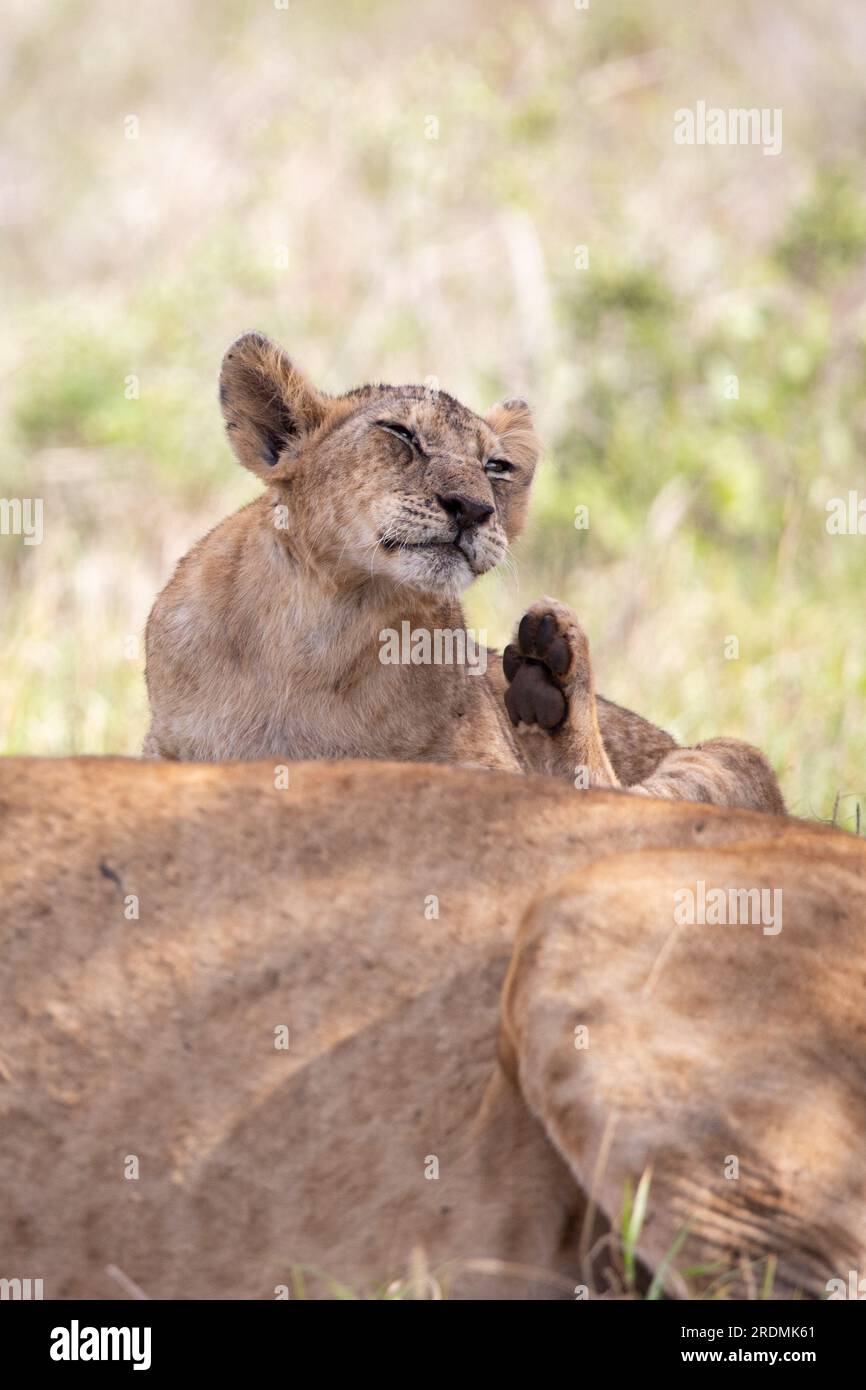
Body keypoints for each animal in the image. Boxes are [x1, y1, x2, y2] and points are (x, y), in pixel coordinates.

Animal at [142, 332, 783, 813]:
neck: (325, 626)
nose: (473, 509)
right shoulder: (166, 750)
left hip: (734, 757)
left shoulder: (485, 764)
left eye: (495, 466)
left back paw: (550, 674)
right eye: (399, 433)